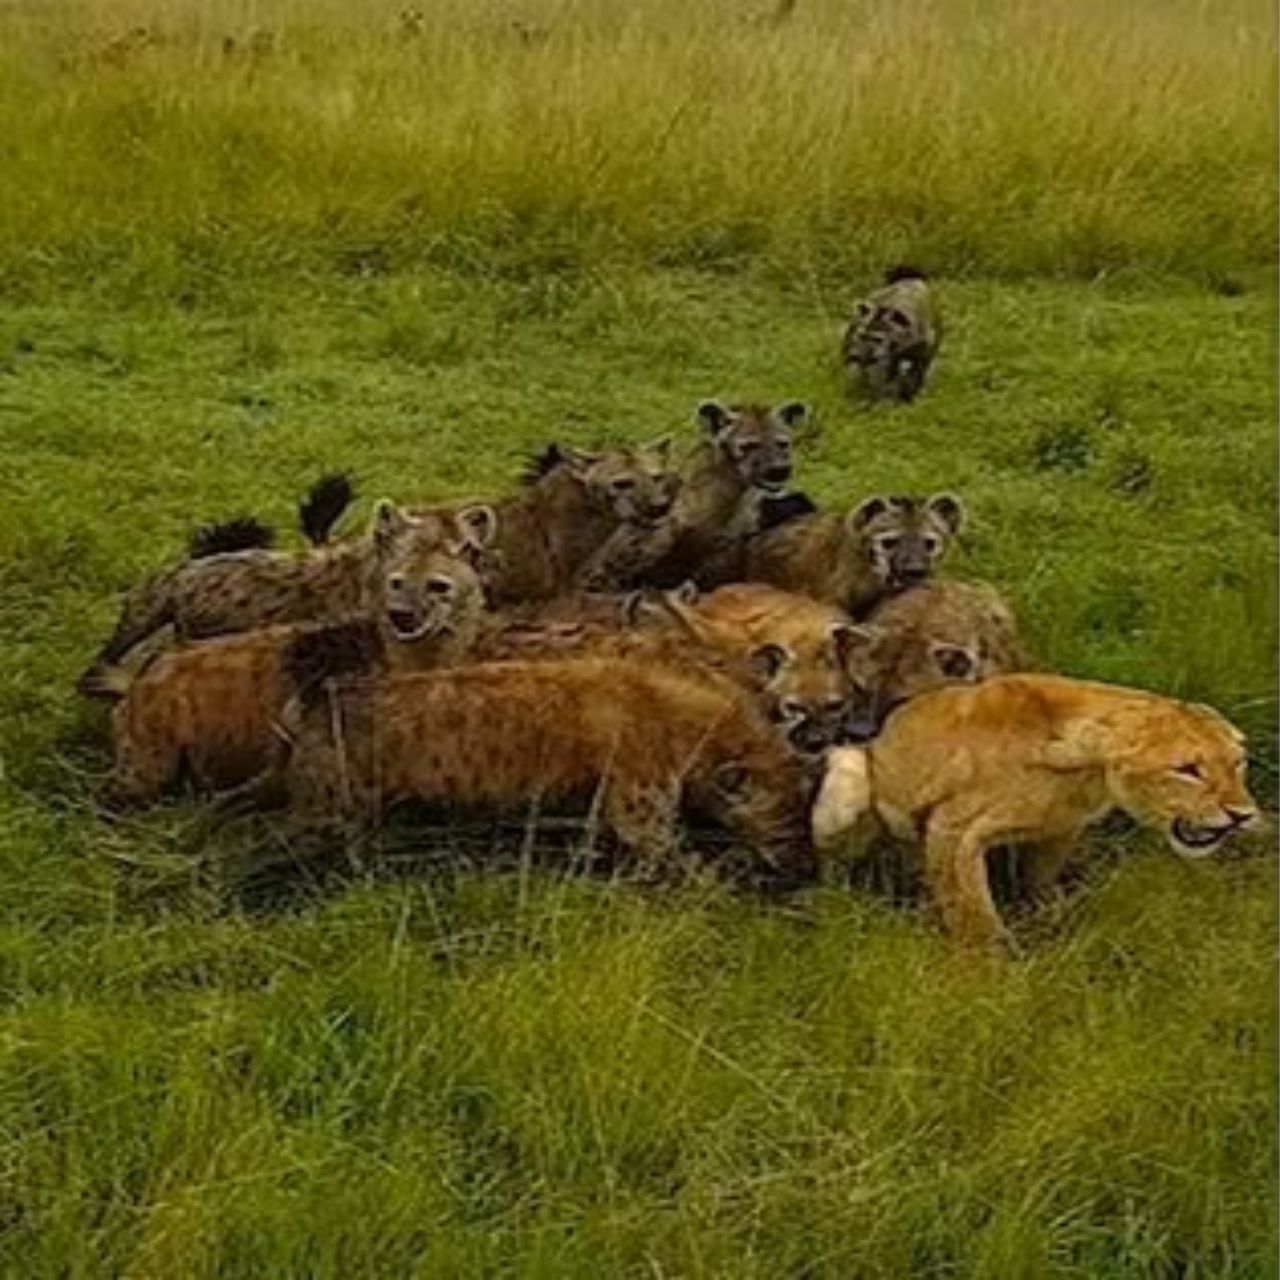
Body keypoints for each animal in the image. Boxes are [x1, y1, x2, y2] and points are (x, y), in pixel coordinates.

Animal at [812, 674, 1260, 946]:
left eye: (1238, 763)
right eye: (1187, 770)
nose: (1242, 814)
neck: (1083, 771)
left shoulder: (1062, 827)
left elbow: (1040, 878)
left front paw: (1048, 915)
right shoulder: (953, 829)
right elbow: (974, 918)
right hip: (849, 779)